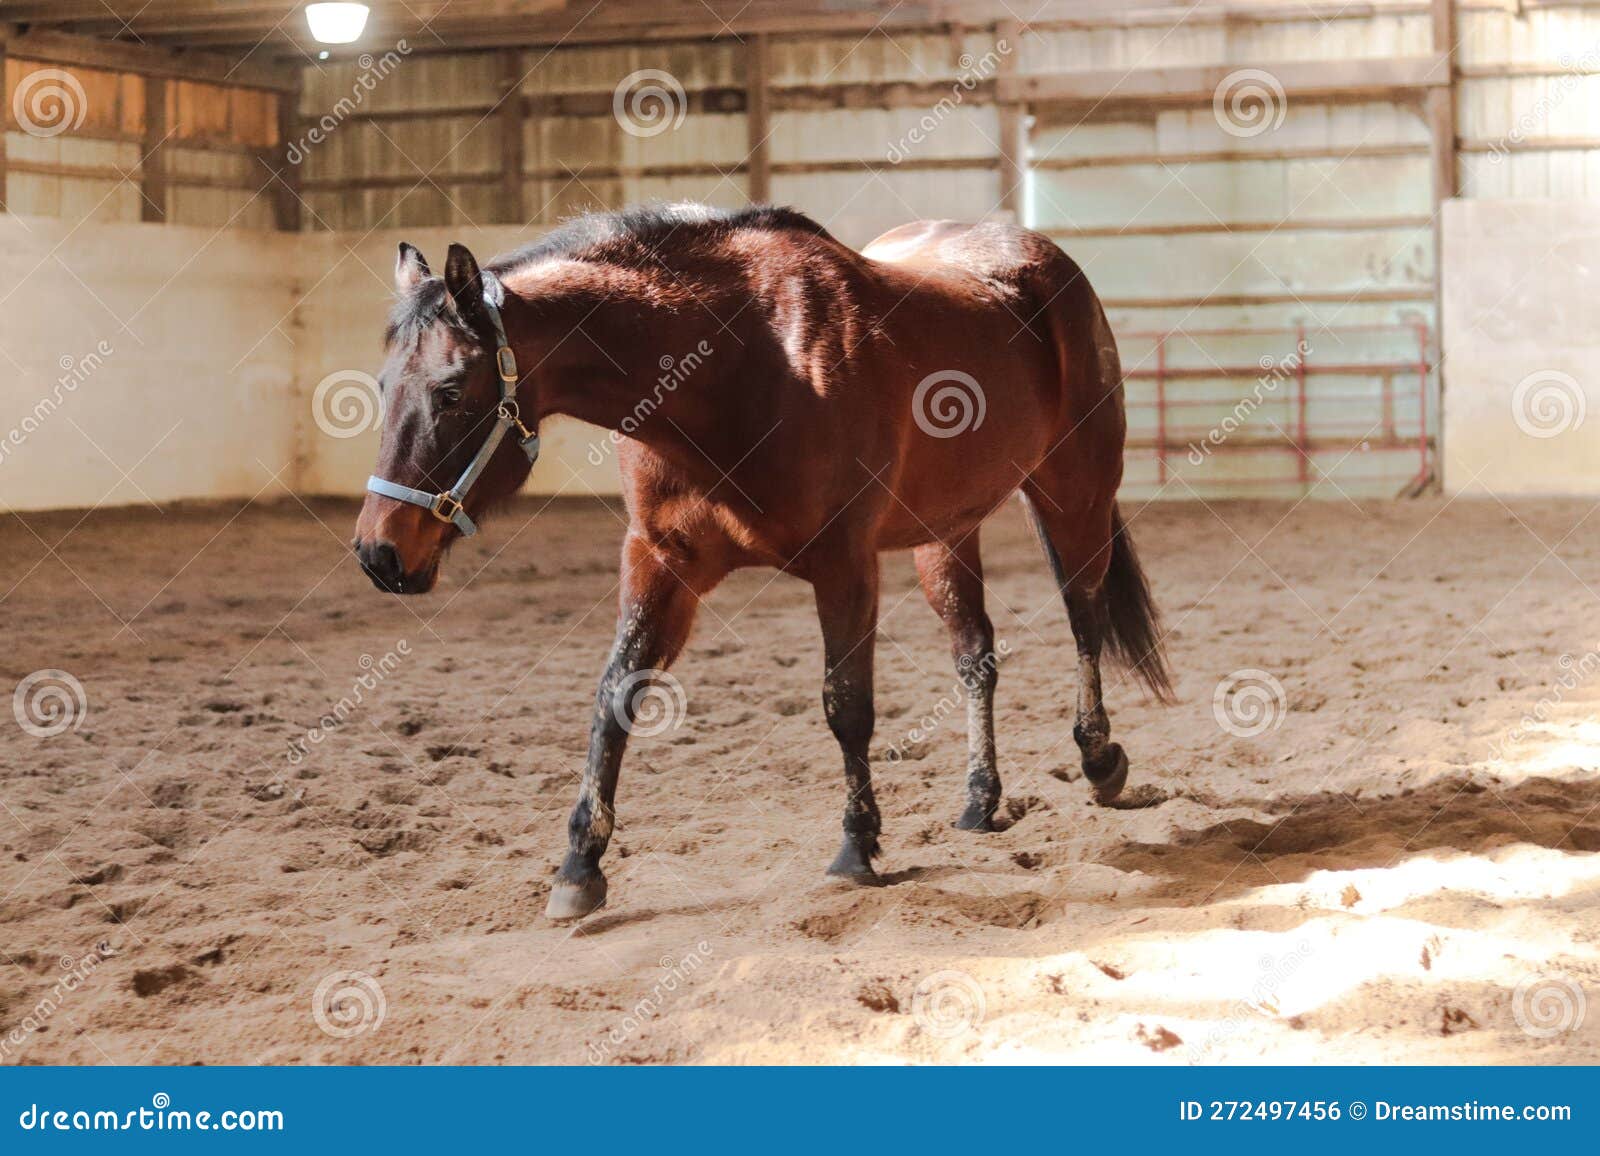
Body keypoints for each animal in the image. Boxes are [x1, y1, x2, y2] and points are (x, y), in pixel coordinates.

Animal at [352, 203, 1173, 921]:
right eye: (384, 386)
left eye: (451, 391)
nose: (379, 553)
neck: (740, 365)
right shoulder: (661, 561)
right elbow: (615, 695)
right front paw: (579, 867)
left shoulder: (845, 565)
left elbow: (847, 706)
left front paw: (856, 849)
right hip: (944, 533)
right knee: (976, 654)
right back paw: (979, 800)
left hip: (1073, 494)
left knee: (1085, 617)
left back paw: (1100, 760)